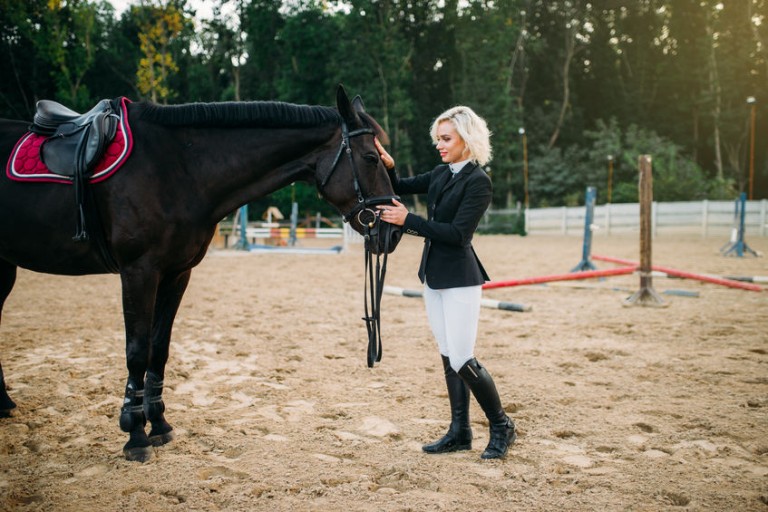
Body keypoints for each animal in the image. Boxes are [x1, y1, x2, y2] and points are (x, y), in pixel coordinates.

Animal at [0, 85, 402, 461]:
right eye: (370, 158)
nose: (392, 232)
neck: (179, 167)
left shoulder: (177, 273)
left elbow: (159, 348)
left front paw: (159, 423)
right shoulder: (139, 271)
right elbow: (137, 351)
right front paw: (135, 435)